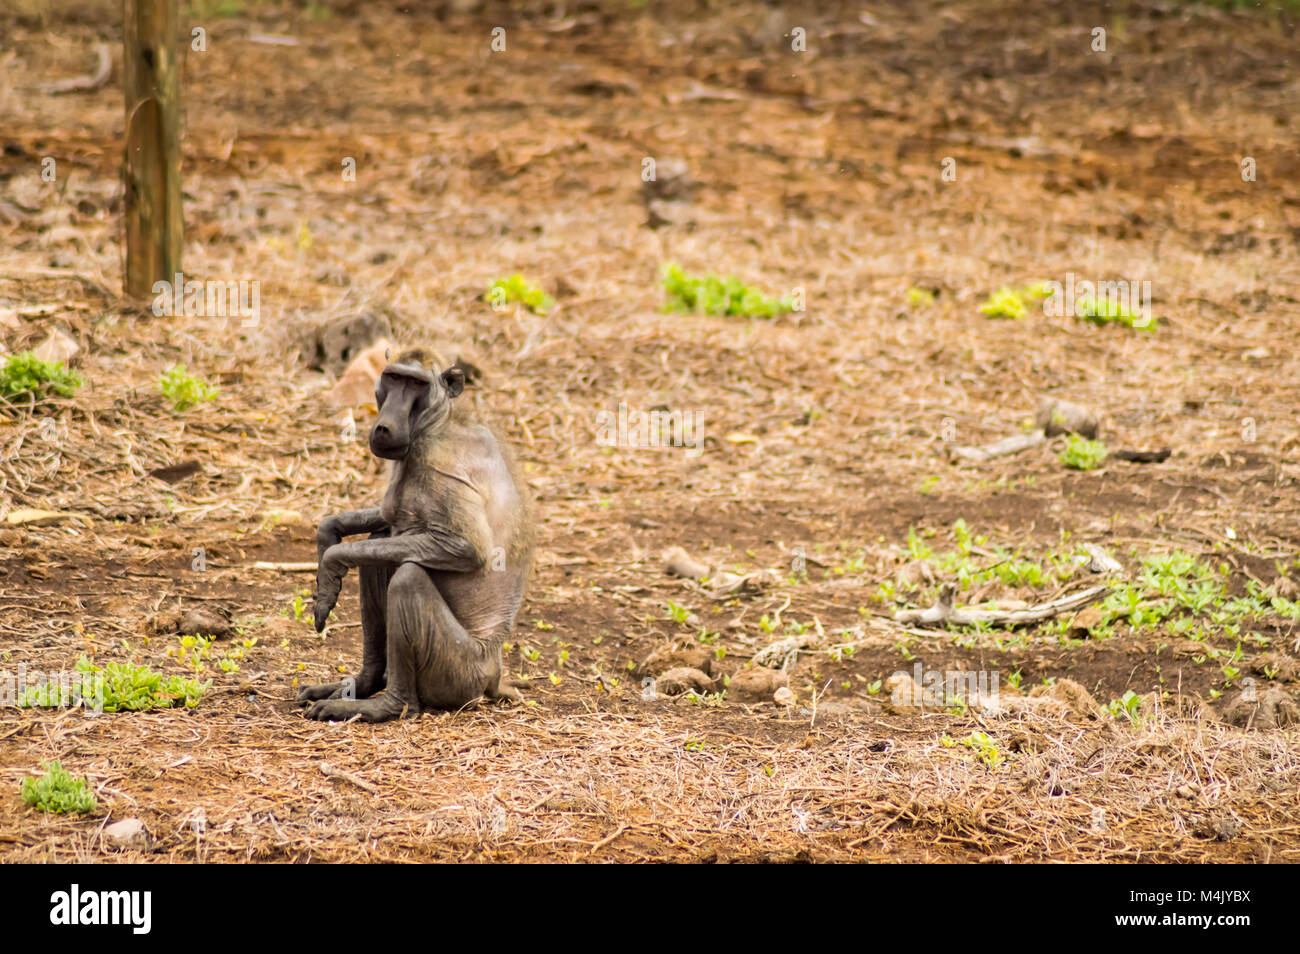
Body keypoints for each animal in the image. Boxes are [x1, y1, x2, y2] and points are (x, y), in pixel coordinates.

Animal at [297, 346, 533, 722]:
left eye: (417, 384)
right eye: (393, 378)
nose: (384, 427)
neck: (441, 417)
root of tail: (494, 672)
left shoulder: (435, 458)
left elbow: (468, 549)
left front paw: (330, 568)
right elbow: (383, 520)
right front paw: (329, 531)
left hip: (459, 671)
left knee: (407, 576)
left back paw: (390, 704)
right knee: (380, 549)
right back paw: (363, 684)